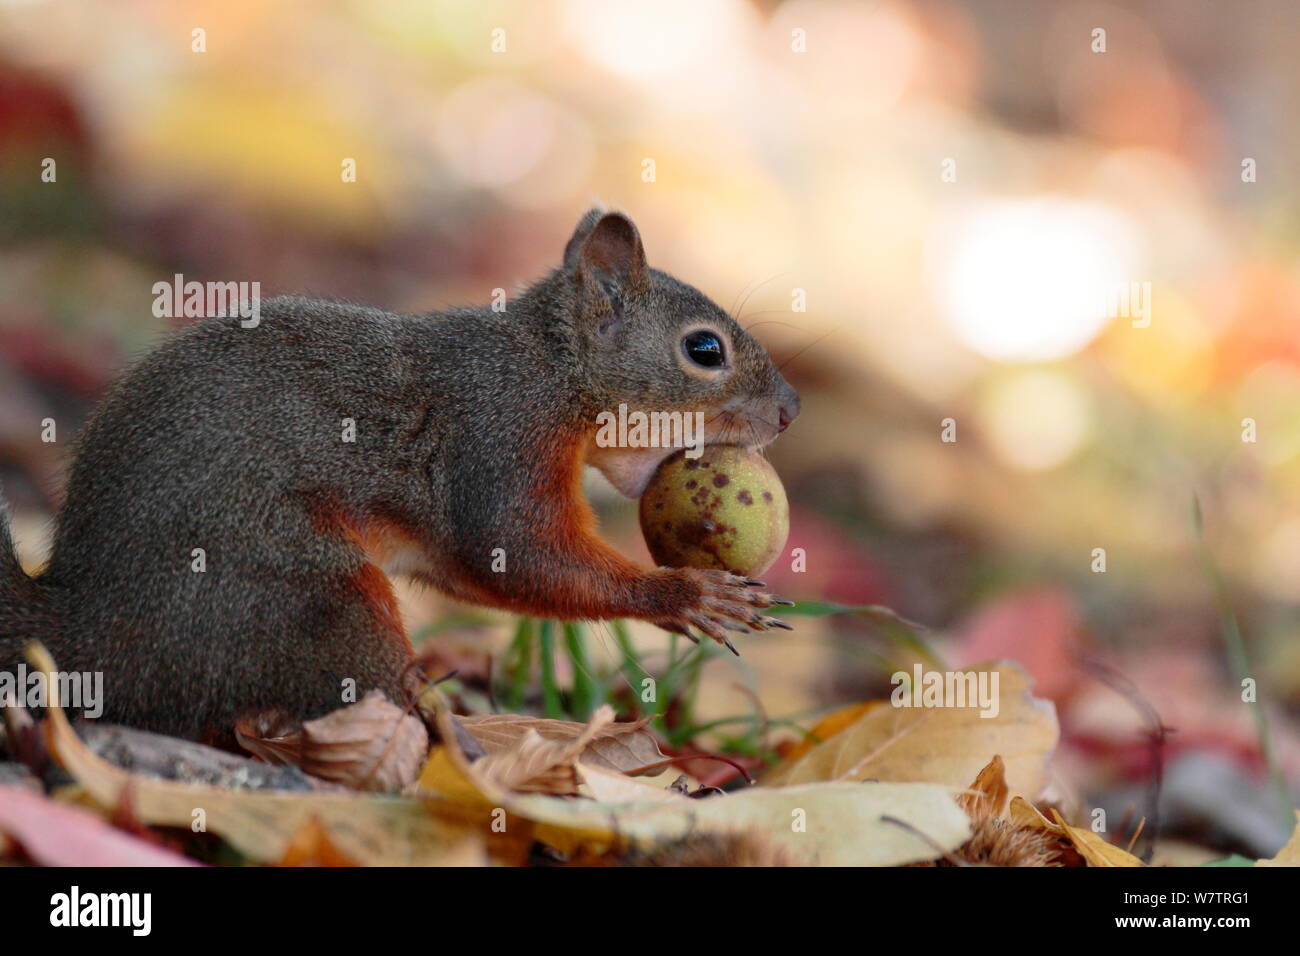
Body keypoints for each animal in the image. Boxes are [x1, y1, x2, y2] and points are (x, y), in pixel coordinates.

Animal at [0, 209, 800, 747]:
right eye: (704, 349)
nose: (791, 410)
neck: (551, 369)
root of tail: (90, 638)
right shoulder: (498, 432)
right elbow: (518, 553)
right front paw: (683, 595)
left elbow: (476, 570)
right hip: (306, 594)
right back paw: (456, 740)